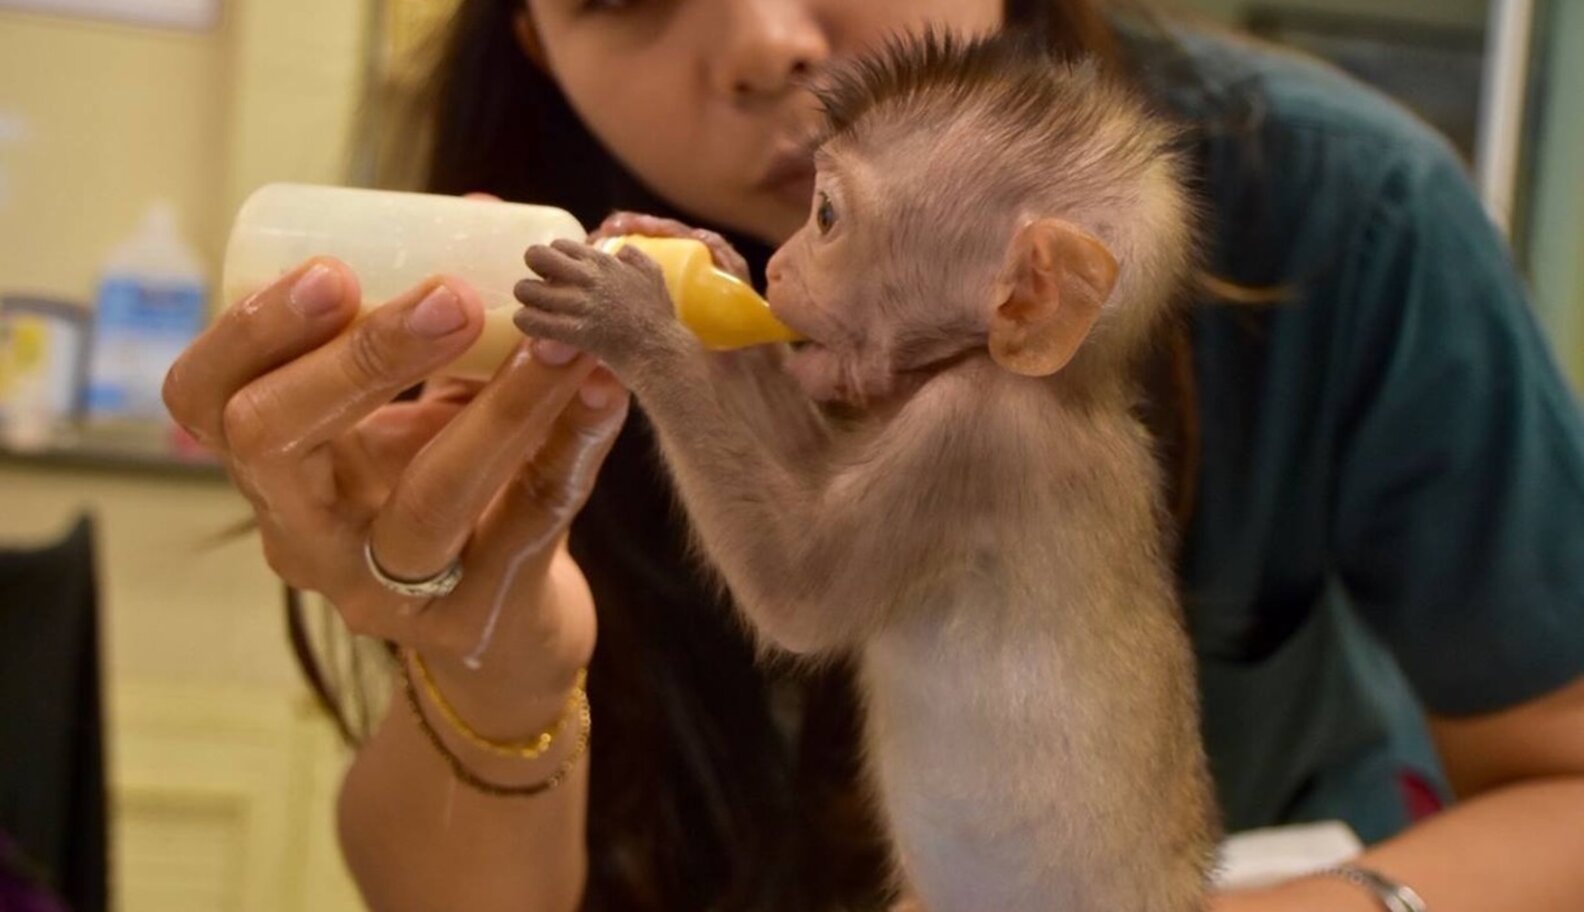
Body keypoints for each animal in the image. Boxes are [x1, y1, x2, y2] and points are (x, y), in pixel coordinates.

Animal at [514, 30, 1216, 912]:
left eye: (825, 217)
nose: (777, 263)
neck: (1050, 382)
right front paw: (710, 267)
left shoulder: (974, 439)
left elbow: (801, 590)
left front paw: (635, 318)